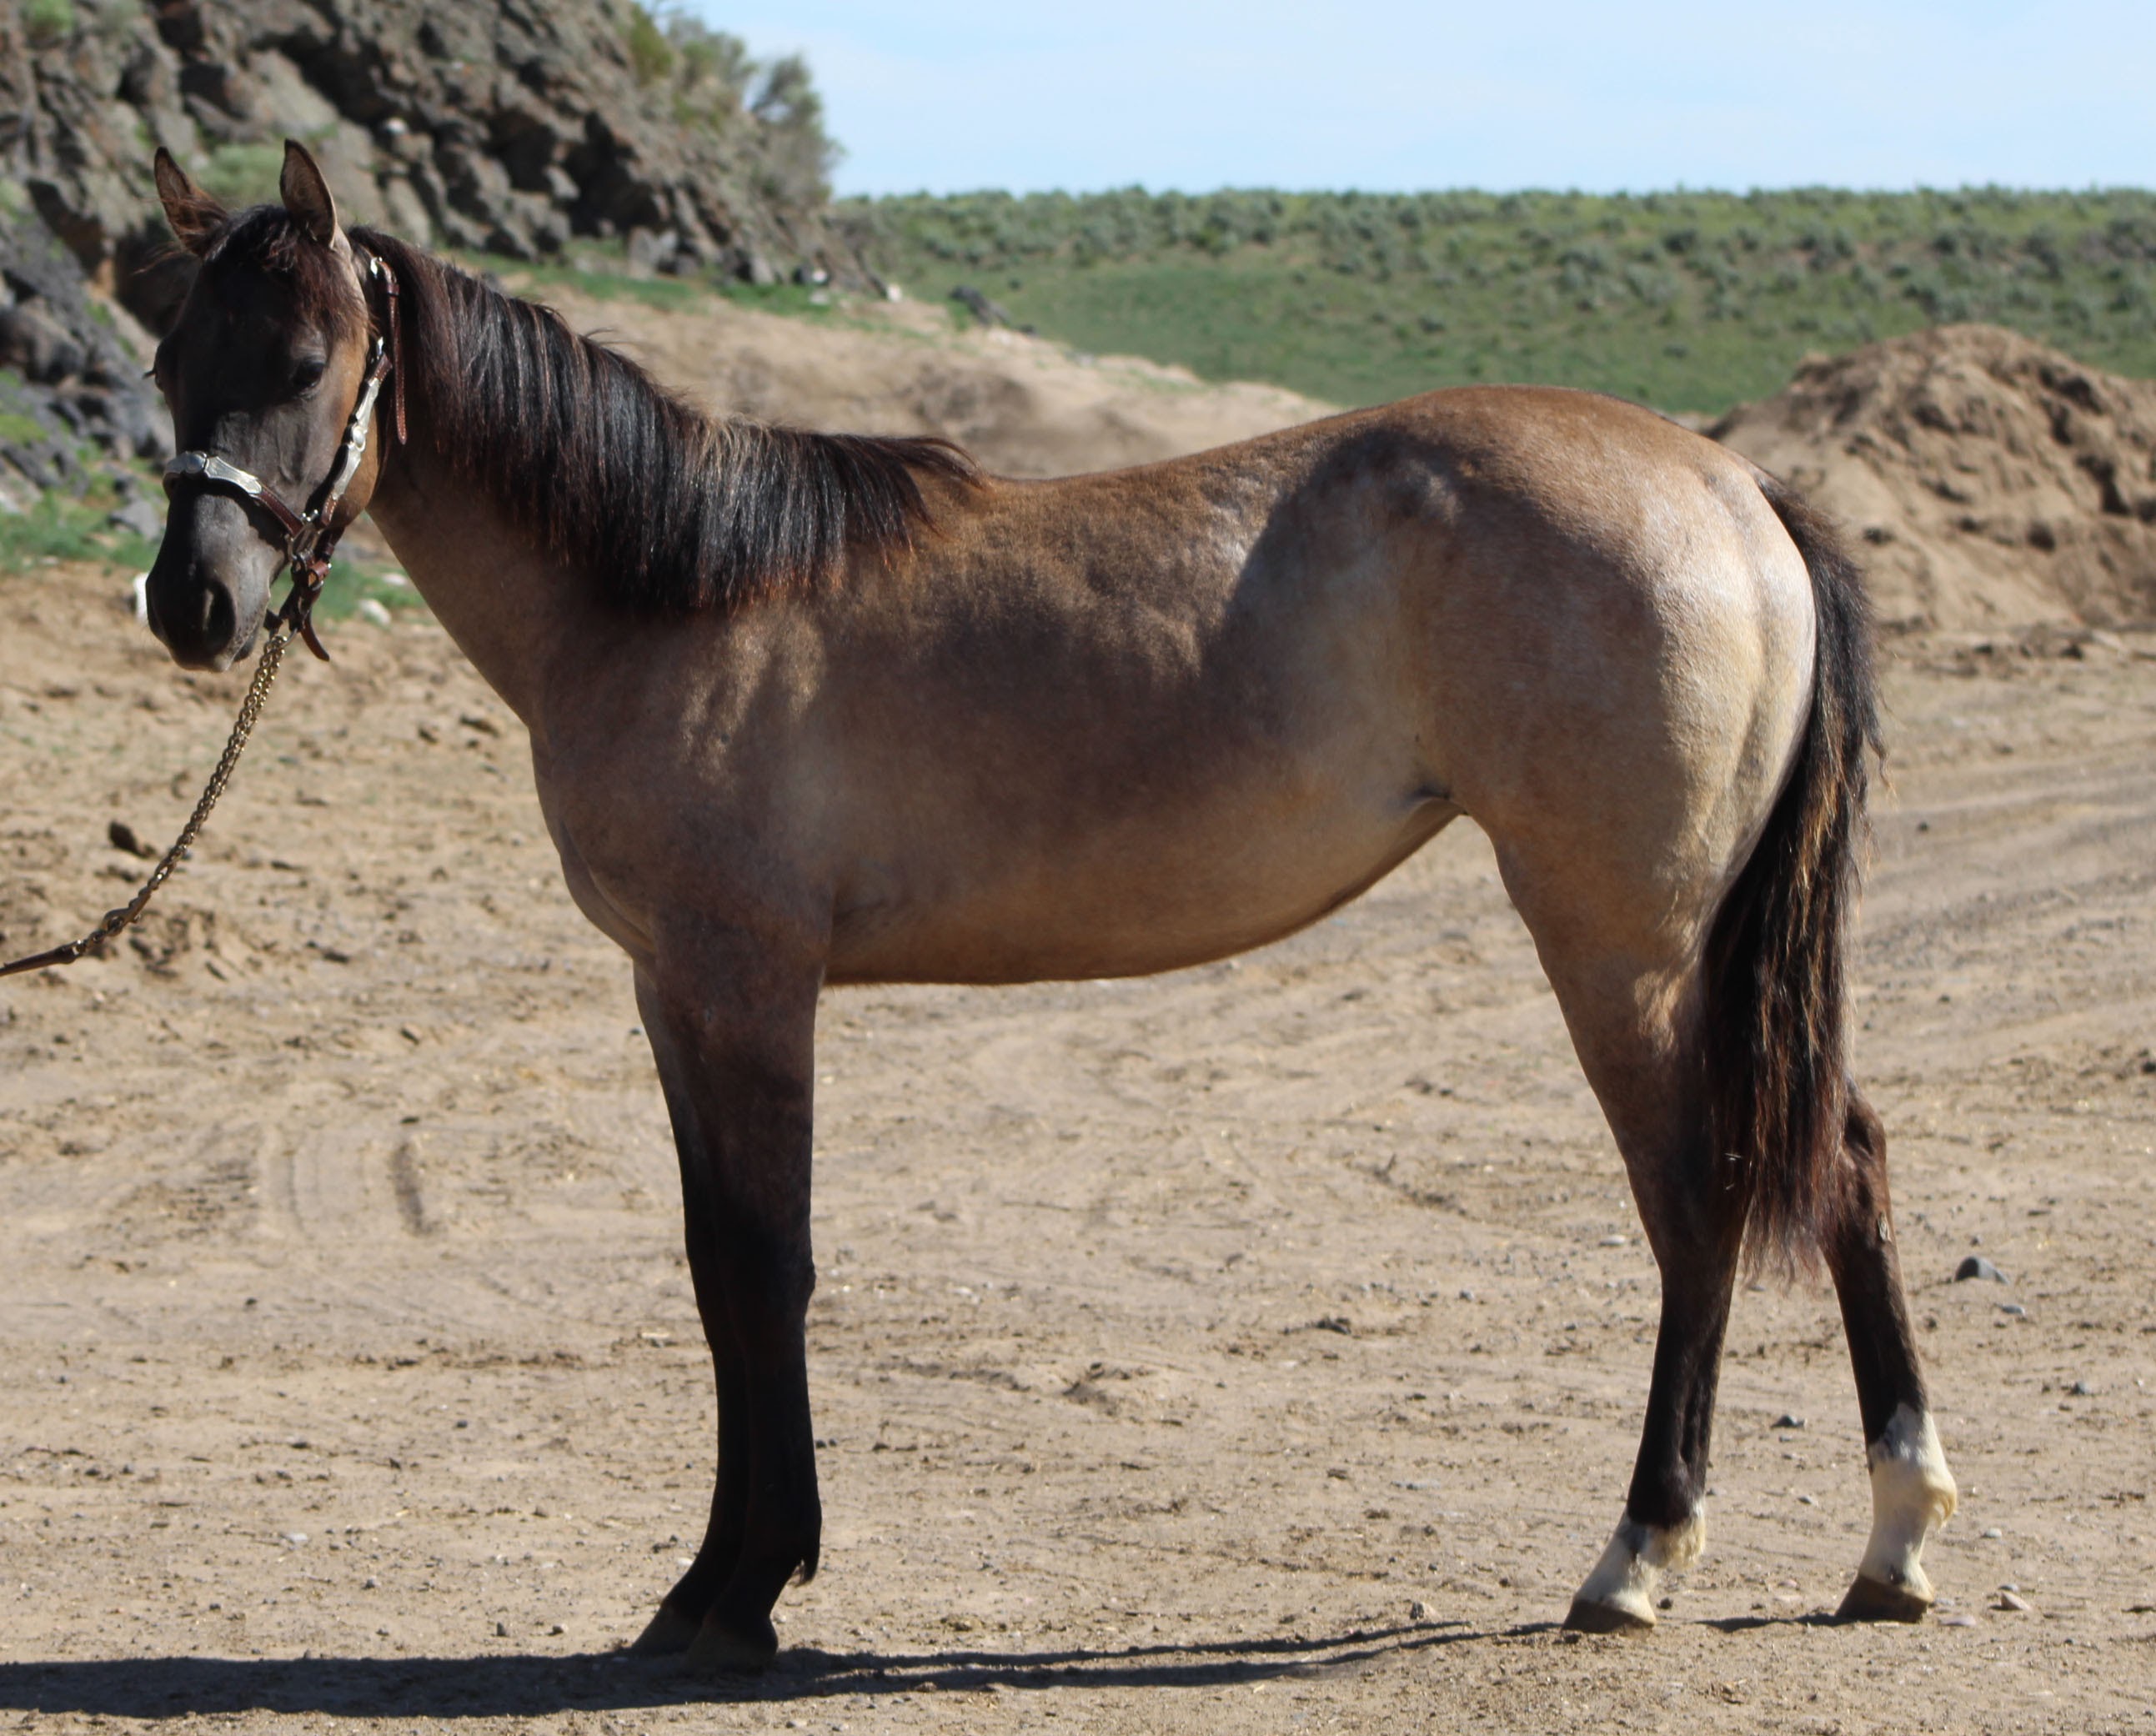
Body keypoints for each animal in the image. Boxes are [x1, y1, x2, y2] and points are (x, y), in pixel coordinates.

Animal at [139, 142, 1957, 1670]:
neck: (672, 589)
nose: (191, 604)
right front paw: (719, 1583)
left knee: (1699, 1197)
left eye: (304, 363)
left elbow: (764, 1265)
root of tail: (1736, 491)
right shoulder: (673, 993)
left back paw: (1639, 1556)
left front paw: (741, 1586)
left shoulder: (747, 987)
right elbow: (719, 1266)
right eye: (167, 363)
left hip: (1622, 942)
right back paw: (1892, 1543)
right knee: (1849, 1159)